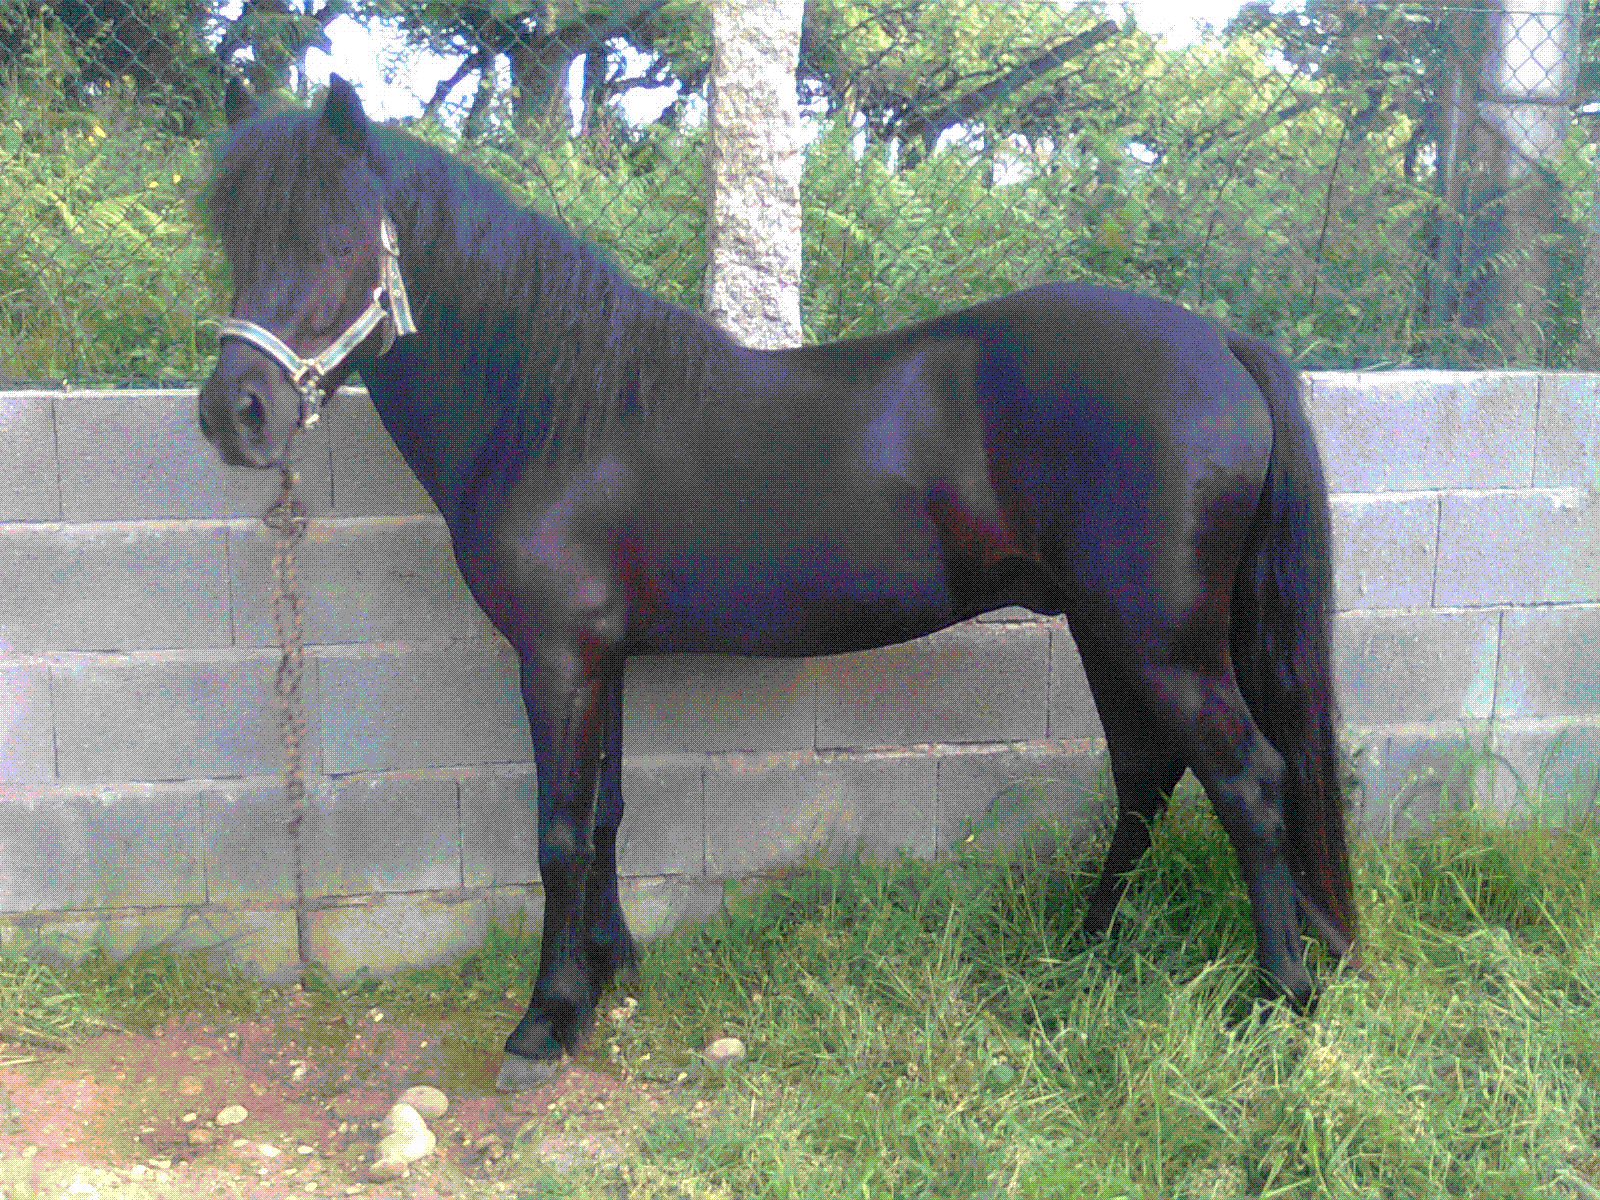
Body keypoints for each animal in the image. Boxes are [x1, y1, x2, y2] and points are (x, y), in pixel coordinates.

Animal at [198, 76, 1358, 1091]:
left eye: (339, 241)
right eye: (237, 243)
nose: (233, 415)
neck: (559, 410)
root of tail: (1218, 340)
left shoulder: (557, 659)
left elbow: (559, 834)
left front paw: (543, 1023)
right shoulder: (603, 659)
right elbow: (608, 813)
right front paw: (607, 974)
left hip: (1157, 638)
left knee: (1249, 781)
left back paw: (1279, 995)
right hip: (1108, 630)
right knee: (1147, 774)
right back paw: (1090, 944)